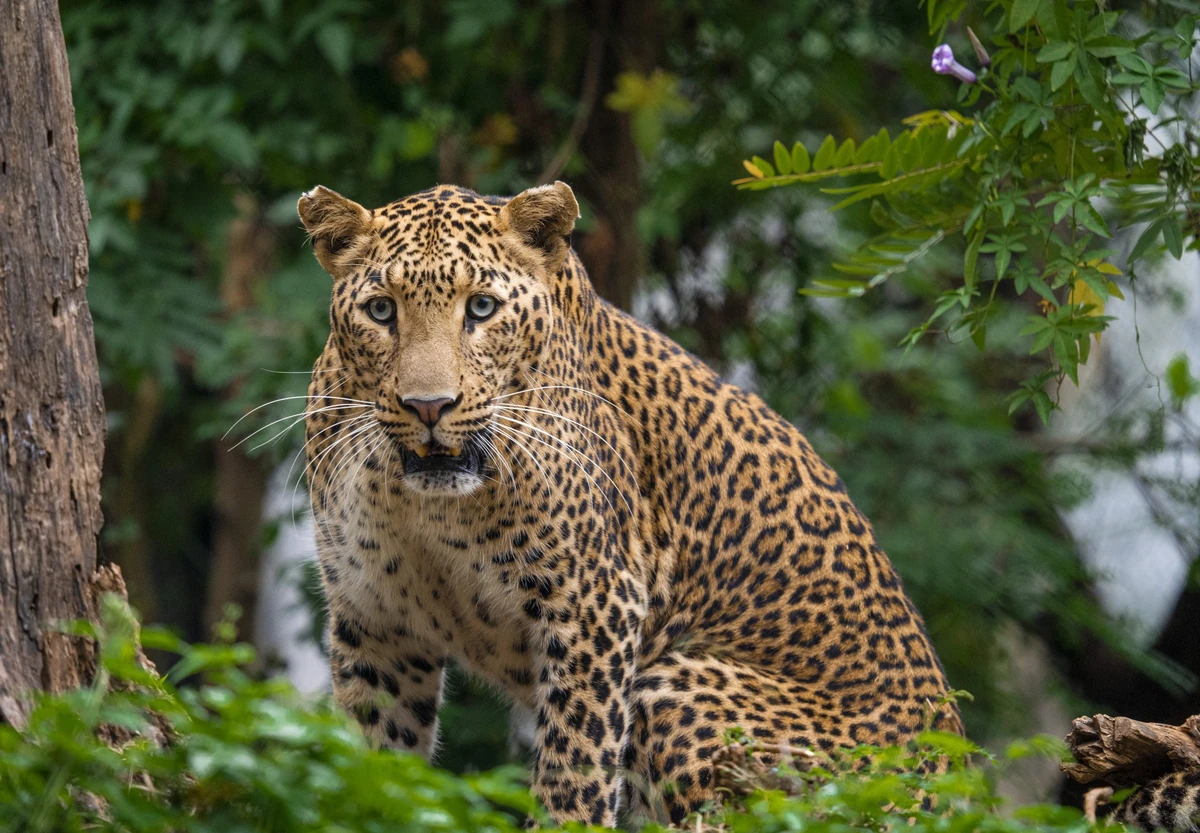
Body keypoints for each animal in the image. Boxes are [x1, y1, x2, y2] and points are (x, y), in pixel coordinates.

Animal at [296, 180, 964, 827]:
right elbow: (373, 769)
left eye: (481, 308)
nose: (429, 406)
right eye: (381, 310)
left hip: (682, 687)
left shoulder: (594, 605)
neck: (426, 508)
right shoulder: (374, 618)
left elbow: (573, 774)